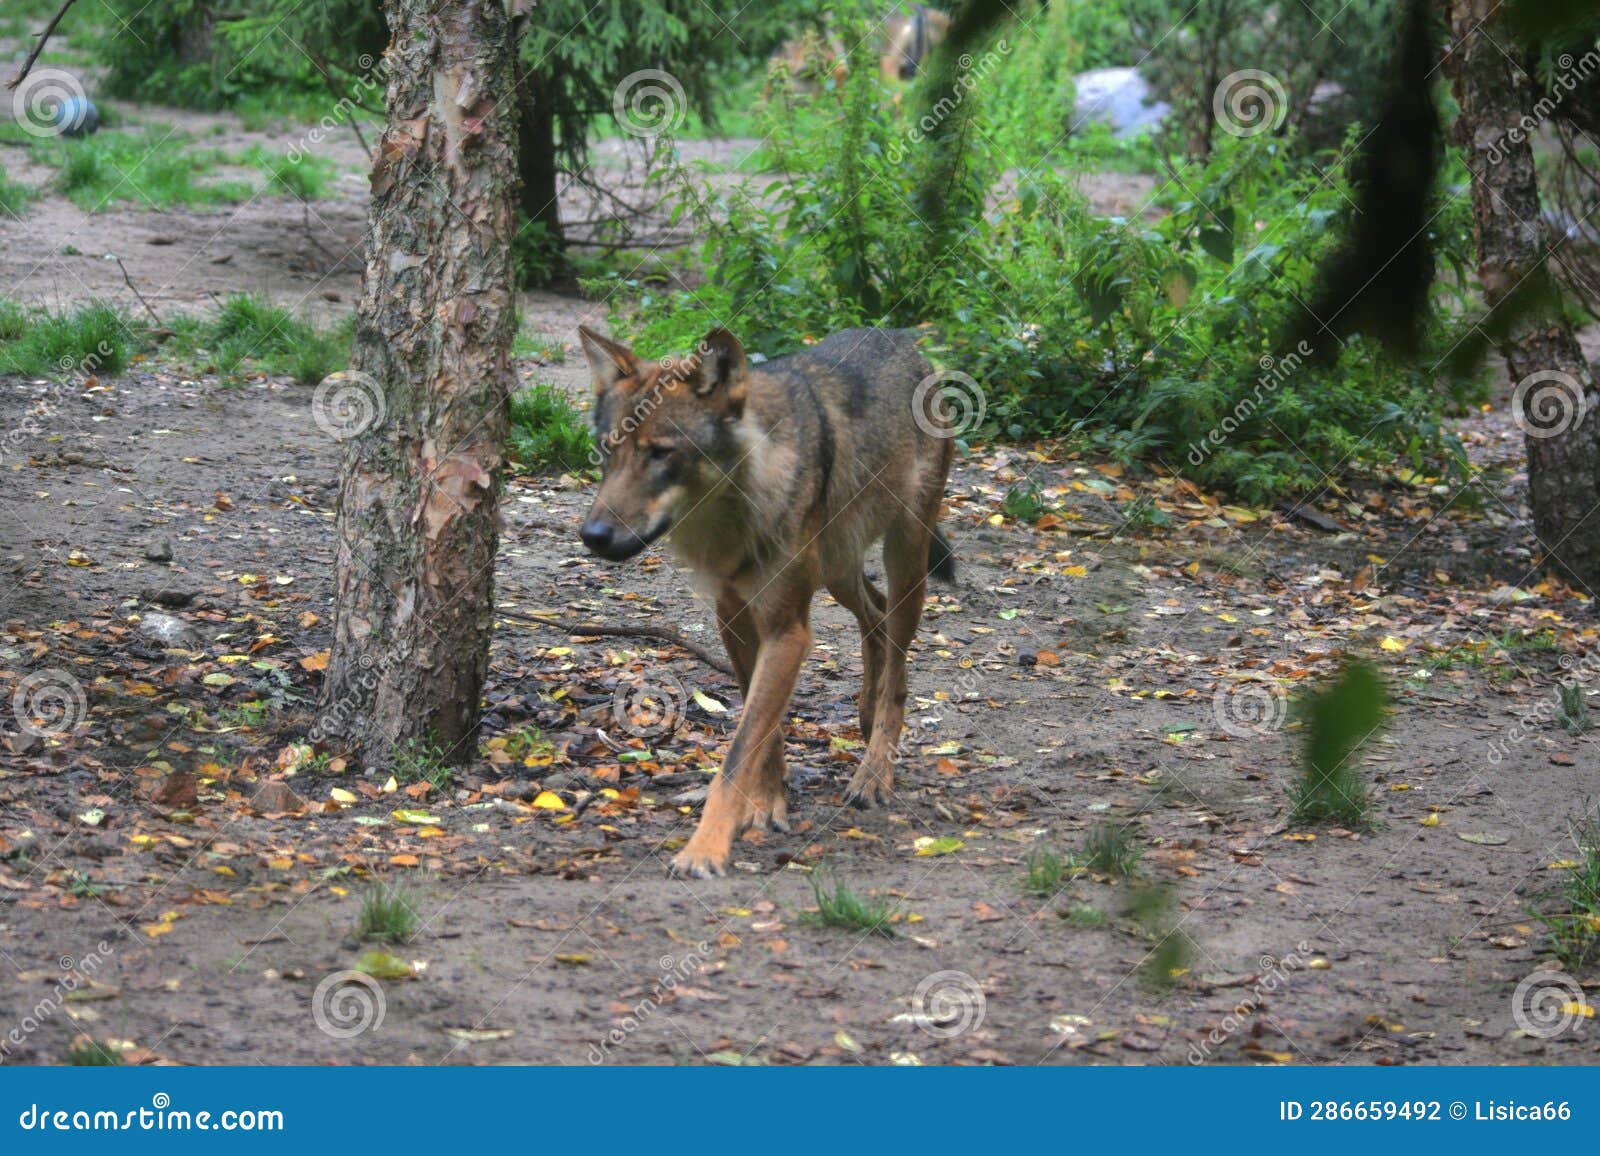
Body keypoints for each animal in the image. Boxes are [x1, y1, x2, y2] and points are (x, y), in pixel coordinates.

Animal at [577, 325, 956, 877]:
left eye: (661, 453)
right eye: (607, 449)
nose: (593, 535)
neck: (730, 518)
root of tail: (900, 338)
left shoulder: (788, 630)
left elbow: (739, 751)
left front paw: (705, 850)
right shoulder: (733, 619)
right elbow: (765, 732)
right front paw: (765, 805)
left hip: (906, 558)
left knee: (900, 662)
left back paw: (873, 773)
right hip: (839, 571)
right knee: (876, 614)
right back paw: (864, 716)